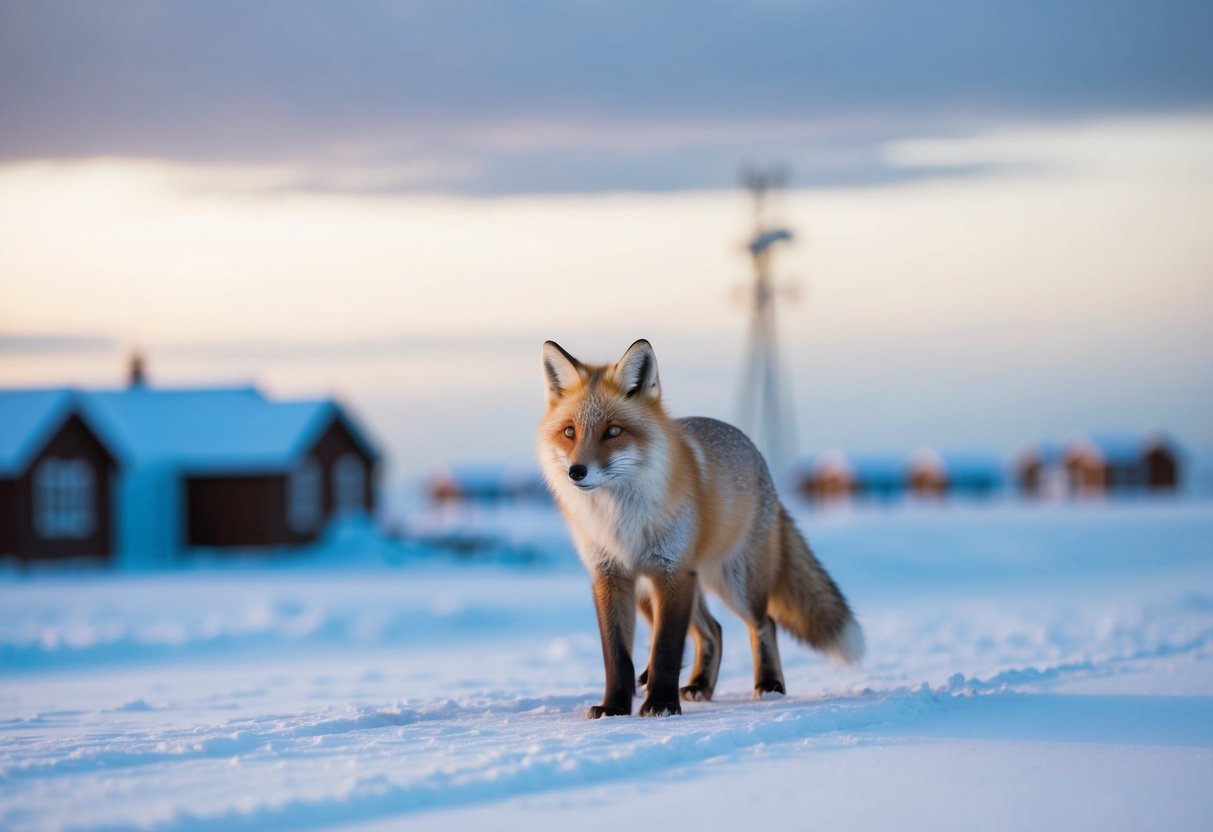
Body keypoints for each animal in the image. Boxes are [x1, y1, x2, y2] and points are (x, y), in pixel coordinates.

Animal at [537, 338, 864, 718]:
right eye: (570, 432)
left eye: (613, 431)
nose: (576, 471)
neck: (620, 520)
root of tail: (759, 460)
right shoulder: (611, 575)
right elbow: (616, 656)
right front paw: (614, 707)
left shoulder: (672, 573)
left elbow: (665, 648)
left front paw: (661, 704)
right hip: (657, 593)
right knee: (713, 631)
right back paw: (699, 686)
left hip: (733, 581)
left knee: (763, 623)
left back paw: (769, 685)